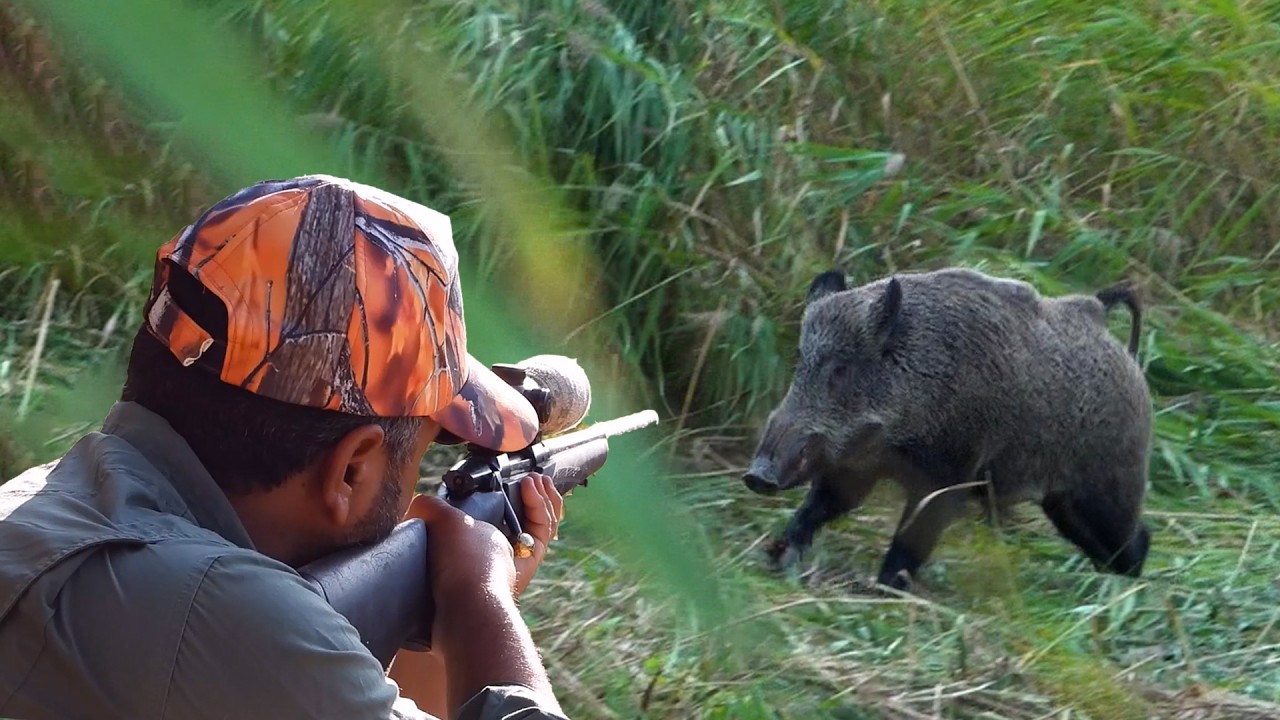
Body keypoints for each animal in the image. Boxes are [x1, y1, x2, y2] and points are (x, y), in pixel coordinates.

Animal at [743, 266, 1154, 591]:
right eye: (801, 361)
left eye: (842, 369)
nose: (757, 475)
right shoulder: (853, 468)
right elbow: (818, 507)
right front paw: (777, 556)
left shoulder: (948, 477)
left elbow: (913, 537)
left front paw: (886, 588)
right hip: (1063, 503)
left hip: (1107, 486)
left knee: (1138, 538)